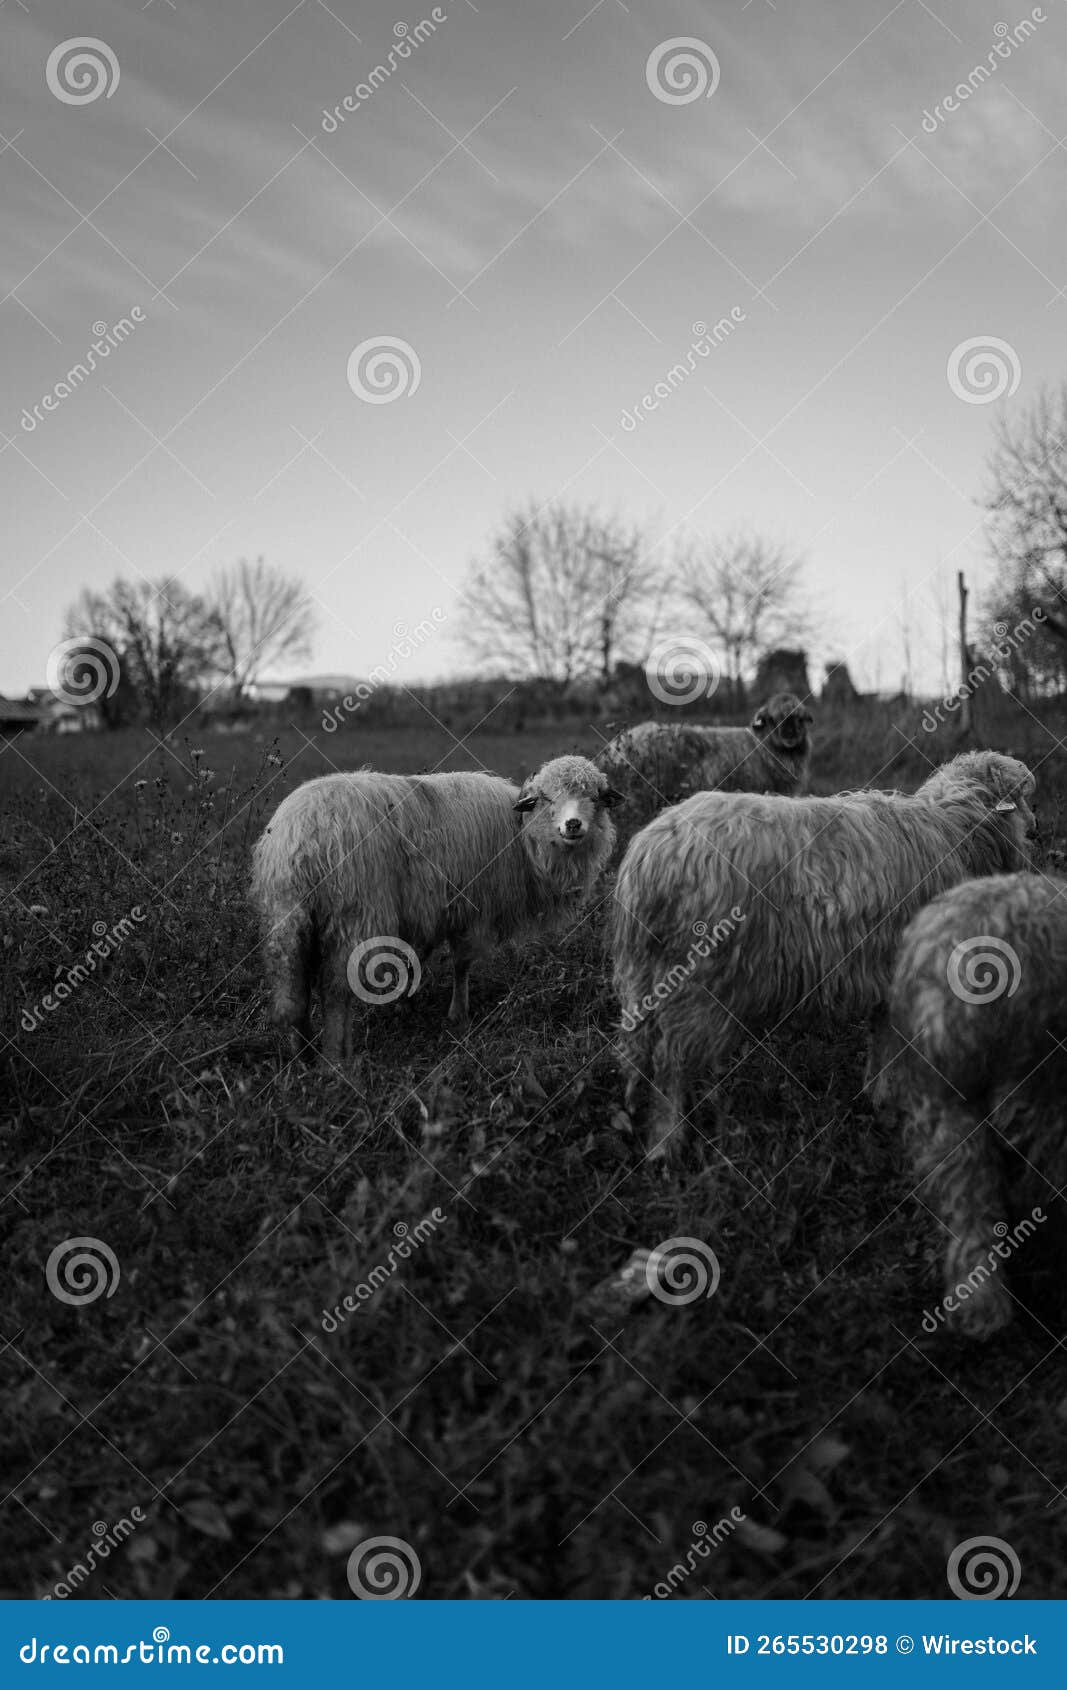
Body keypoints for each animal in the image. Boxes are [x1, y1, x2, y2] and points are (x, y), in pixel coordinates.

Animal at [251, 755, 621, 1061]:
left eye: (595, 798)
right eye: (547, 798)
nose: (572, 825)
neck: (522, 838)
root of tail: (304, 833)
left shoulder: (426, 910)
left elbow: (414, 958)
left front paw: (406, 1004)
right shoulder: (471, 908)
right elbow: (461, 964)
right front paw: (458, 1014)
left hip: (287, 916)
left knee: (295, 987)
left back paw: (303, 1056)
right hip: (355, 912)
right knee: (336, 989)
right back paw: (337, 1059)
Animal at [595, 691, 813, 831]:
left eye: (800, 719)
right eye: (774, 719)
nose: (790, 736)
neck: (761, 746)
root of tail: (616, 748)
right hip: (638, 796)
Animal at [611, 751, 1036, 1166]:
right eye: (1021, 802)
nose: (1036, 830)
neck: (956, 831)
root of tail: (648, 859)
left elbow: (880, 1034)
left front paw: (874, 1094)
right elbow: (894, 1040)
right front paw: (893, 1102)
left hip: (648, 976)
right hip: (699, 979)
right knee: (671, 1061)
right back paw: (667, 1146)